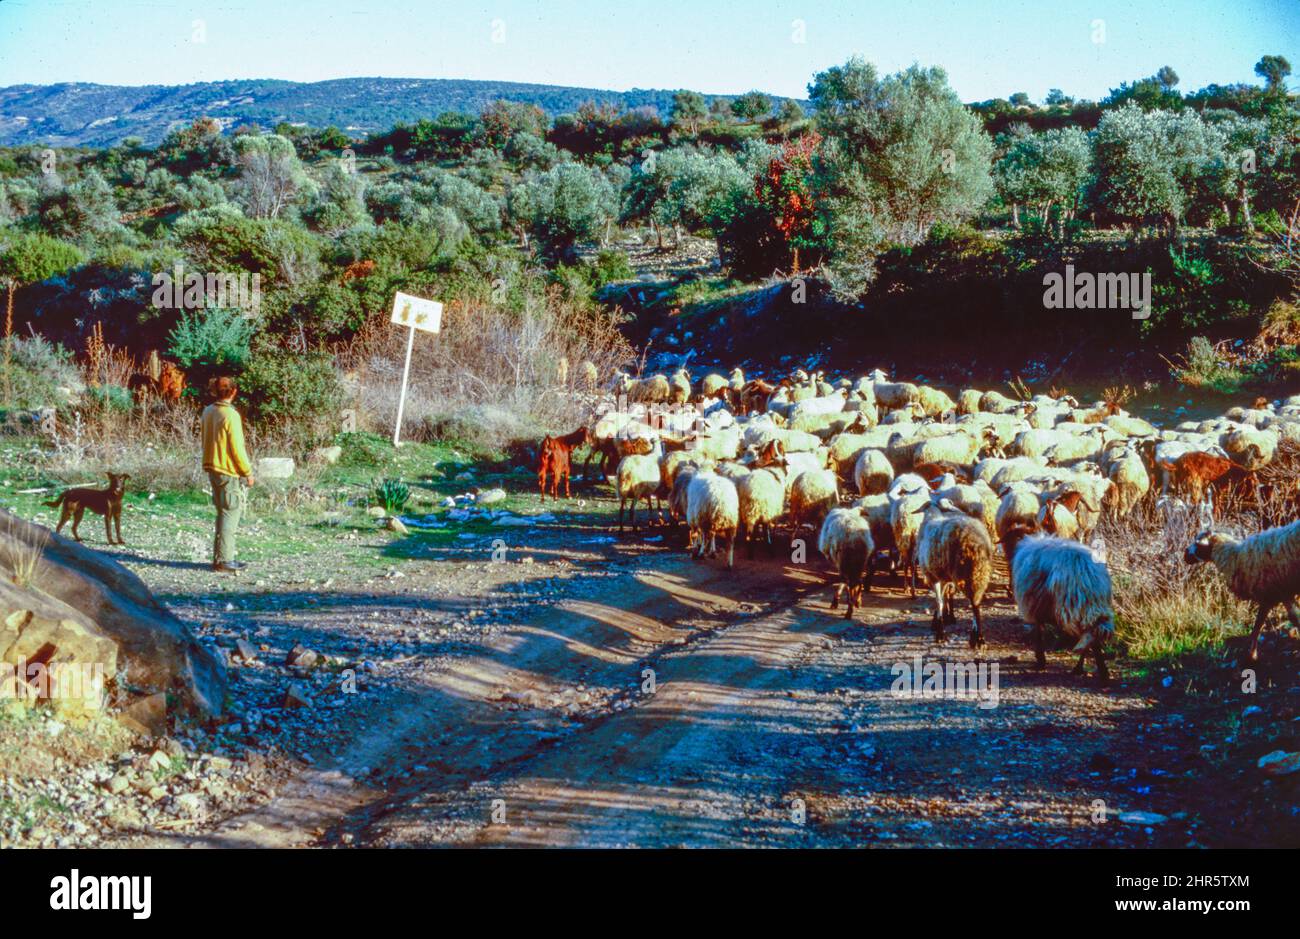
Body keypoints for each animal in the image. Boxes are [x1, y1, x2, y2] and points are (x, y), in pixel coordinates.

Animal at [915, 498, 994, 647]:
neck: (931, 517)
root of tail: (974, 541)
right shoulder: (944, 577)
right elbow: (943, 598)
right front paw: (940, 622)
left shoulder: (933, 576)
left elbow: (939, 601)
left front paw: (940, 633)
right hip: (980, 572)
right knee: (976, 602)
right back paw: (978, 637)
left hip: (964, 573)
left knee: (973, 603)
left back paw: (977, 639)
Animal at [1006, 533, 1116, 680]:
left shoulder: (1035, 605)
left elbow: (1039, 631)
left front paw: (1040, 660)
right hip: (1086, 608)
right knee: (1091, 636)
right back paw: (1093, 670)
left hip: (1074, 605)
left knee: (1089, 637)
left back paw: (1087, 669)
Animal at [1185, 518, 1300, 661]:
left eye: (1199, 544)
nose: (1185, 554)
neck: (1236, 557)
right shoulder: (1277, 594)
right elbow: (1259, 625)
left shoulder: (1274, 593)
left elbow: (1260, 624)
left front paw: (1252, 655)